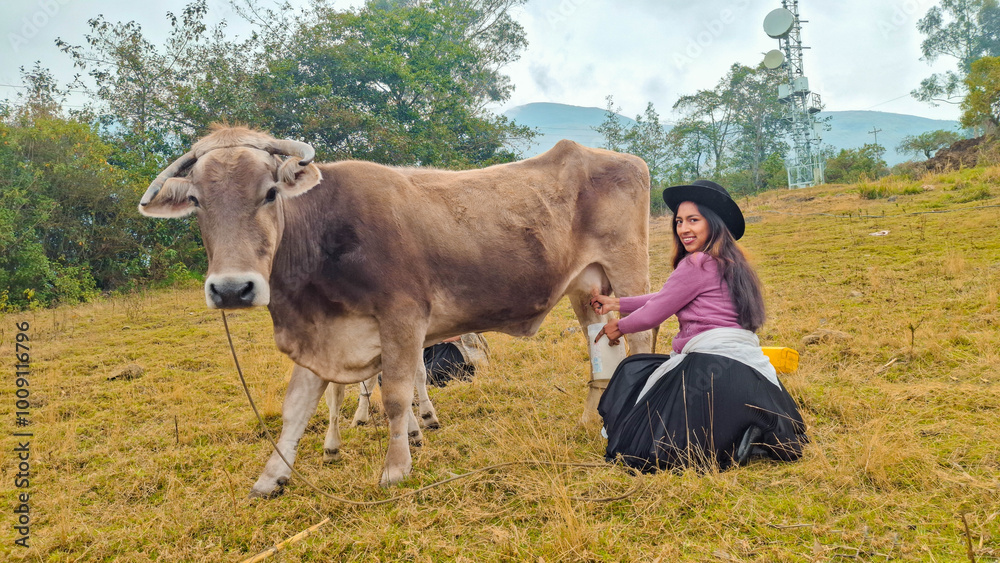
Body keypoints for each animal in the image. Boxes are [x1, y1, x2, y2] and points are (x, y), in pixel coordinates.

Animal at [138, 126, 653, 497]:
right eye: (197, 201)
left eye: (269, 193)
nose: (231, 288)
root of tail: (616, 157)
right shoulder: (324, 336)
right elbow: (297, 406)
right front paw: (273, 474)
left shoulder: (402, 318)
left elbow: (396, 396)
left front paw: (396, 467)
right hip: (588, 287)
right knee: (602, 348)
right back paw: (590, 420)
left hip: (628, 268)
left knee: (639, 339)